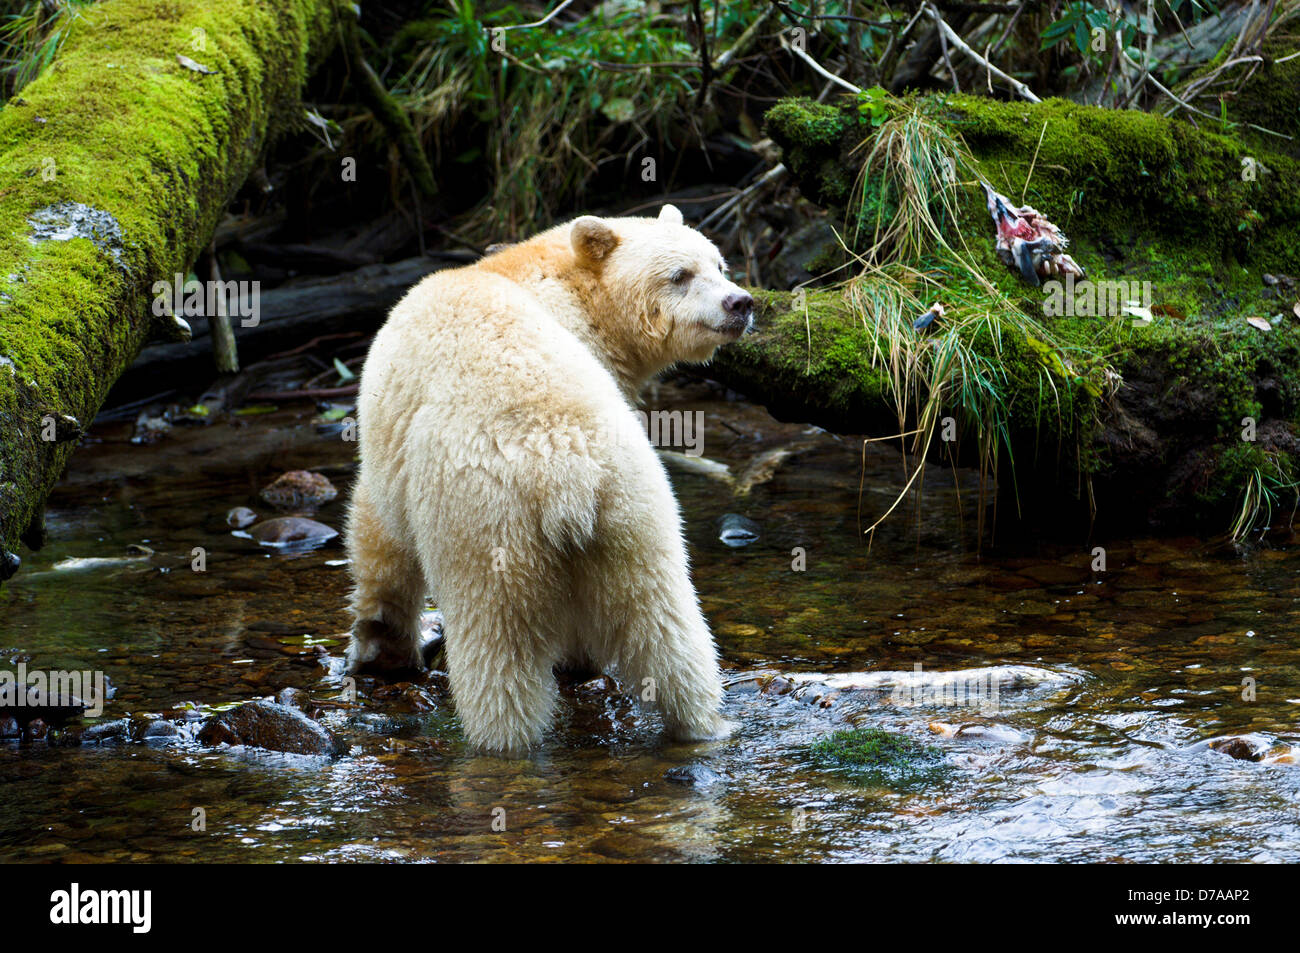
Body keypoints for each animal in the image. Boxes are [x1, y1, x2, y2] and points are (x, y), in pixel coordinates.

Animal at [344, 204, 754, 752]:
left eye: (719, 265)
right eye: (681, 274)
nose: (740, 303)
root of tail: (564, 467)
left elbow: (380, 528)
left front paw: (381, 647)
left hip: (486, 521)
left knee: (498, 647)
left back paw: (501, 743)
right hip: (633, 505)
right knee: (666, 622)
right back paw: (704, 723)